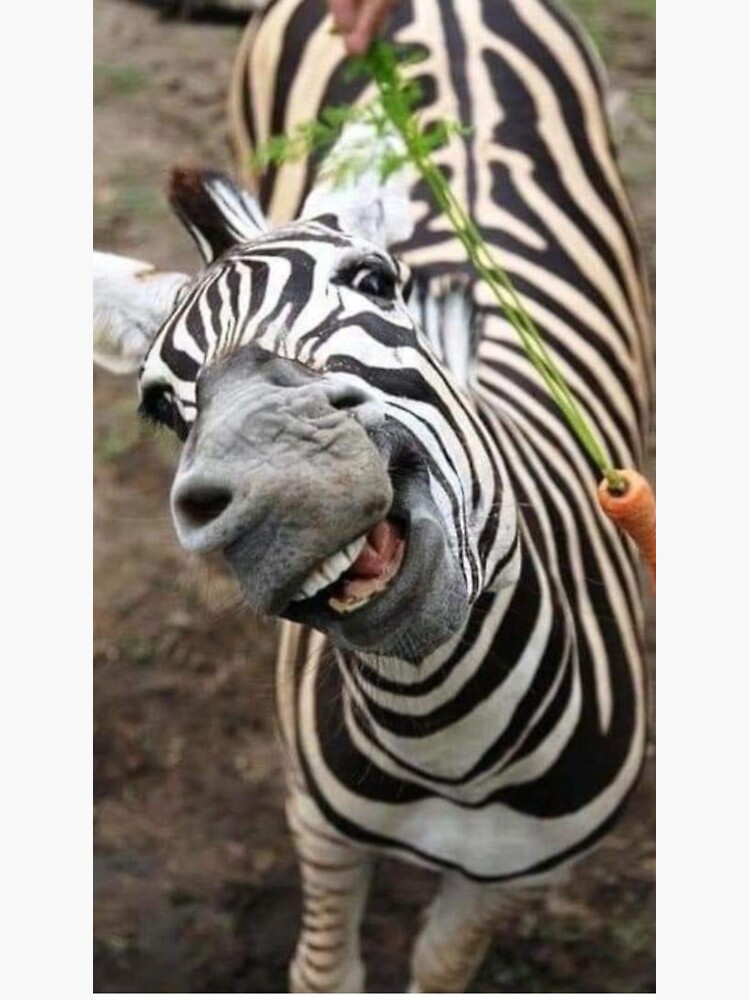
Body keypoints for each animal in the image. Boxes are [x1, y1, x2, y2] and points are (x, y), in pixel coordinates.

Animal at [93, 0, 654, 991]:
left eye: (374, 282)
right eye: (161, 402)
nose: (283, 485)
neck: (449, 742)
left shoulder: (521, 874)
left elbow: (441, 967)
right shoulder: (320, 829)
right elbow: (325, 971)